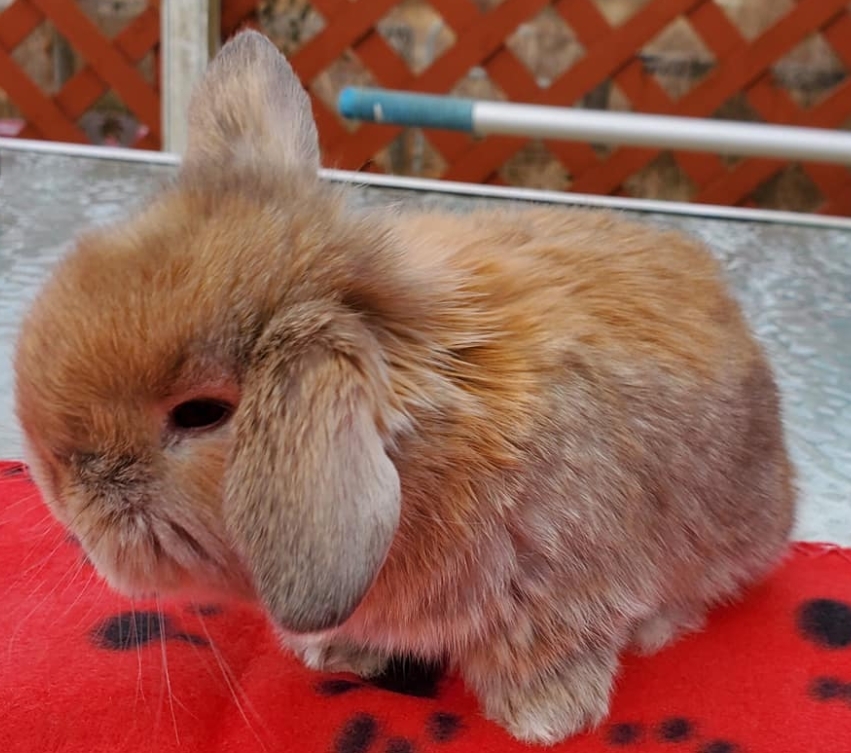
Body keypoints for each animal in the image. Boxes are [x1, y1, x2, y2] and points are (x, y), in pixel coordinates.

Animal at [14, 30, 796, 745]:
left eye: (199, 412)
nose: (62, 497)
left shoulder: (559, 592)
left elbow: (552, 654)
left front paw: (544, 718)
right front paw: (333, 654)